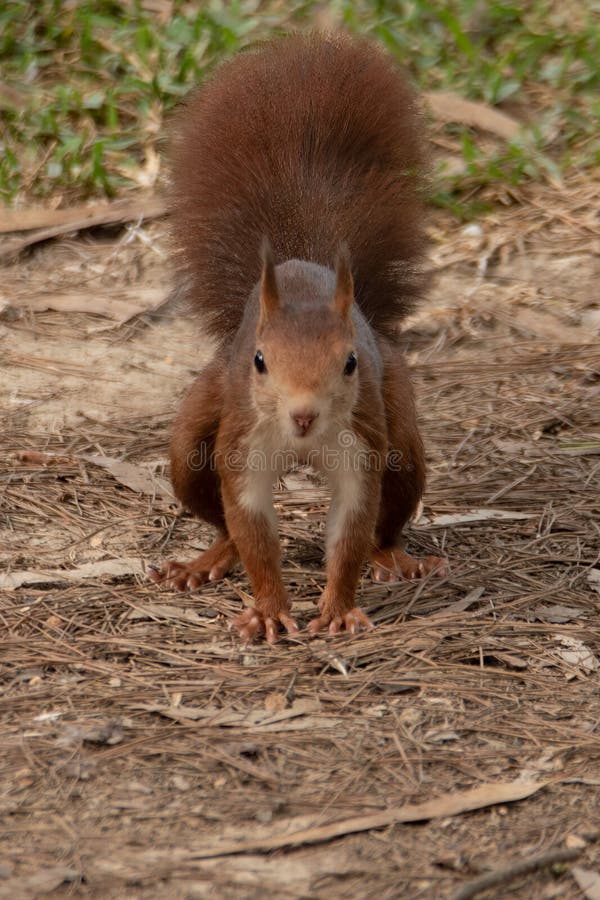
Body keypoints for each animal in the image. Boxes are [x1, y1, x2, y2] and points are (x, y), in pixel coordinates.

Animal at [151, 32, 446, 642]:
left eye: (350, 362)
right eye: (259, 360)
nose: (304, 416)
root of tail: (304, 261)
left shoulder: (360, 447)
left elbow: (352, 526)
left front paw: (337, 607)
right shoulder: (244, 442)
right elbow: (252, 526)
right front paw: (267, 609)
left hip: (400, 438)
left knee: (388, 513)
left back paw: (393, 557)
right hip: (195, 438)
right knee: (220, 518)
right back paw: (208, 559)